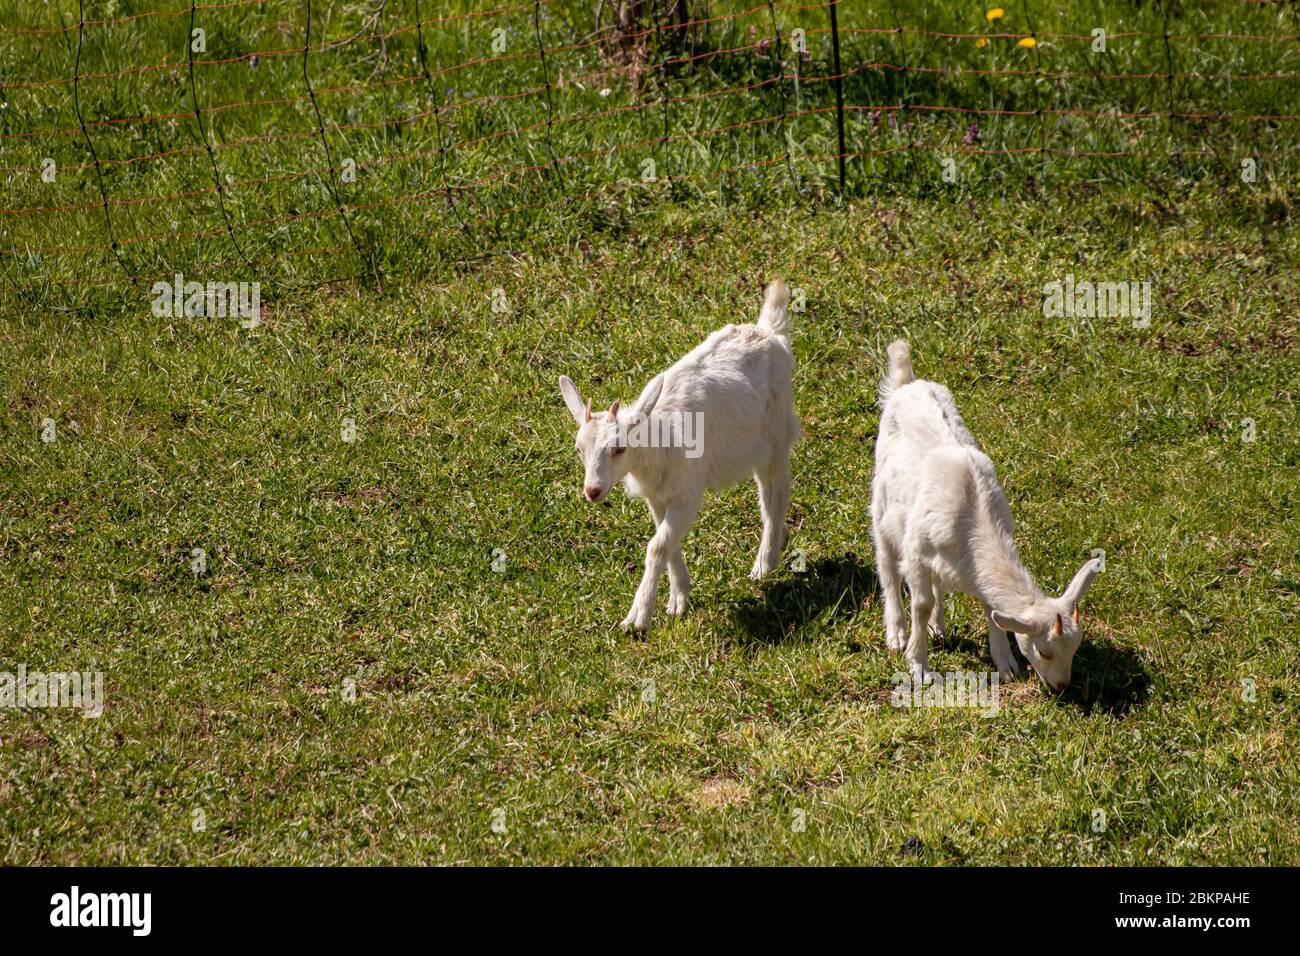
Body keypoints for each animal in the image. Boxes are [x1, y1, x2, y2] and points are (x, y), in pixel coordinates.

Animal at [558, 280, 802, 631]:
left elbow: (657, 545)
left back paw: (764, 563)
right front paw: (678, 598)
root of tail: (769, 331)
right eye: (579, 449)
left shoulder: (687, 493)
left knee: (774, 494)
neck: (659, 444)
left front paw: (637, 618)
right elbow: (666, 542)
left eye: (619, 448)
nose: (592, 491)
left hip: (776, 434)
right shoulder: (657, 496)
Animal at [871, 340, 1102, 689]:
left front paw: (1005, 663)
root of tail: (907, 382)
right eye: (1044, 651)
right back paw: (896, 632)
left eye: (1075, 648)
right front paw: (918, 663)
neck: (973, 520)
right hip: (883, 504)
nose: (1062, 686)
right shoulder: (916, 552)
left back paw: (938, 626)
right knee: (886, 563)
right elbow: (920, 604)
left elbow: (990, 607)